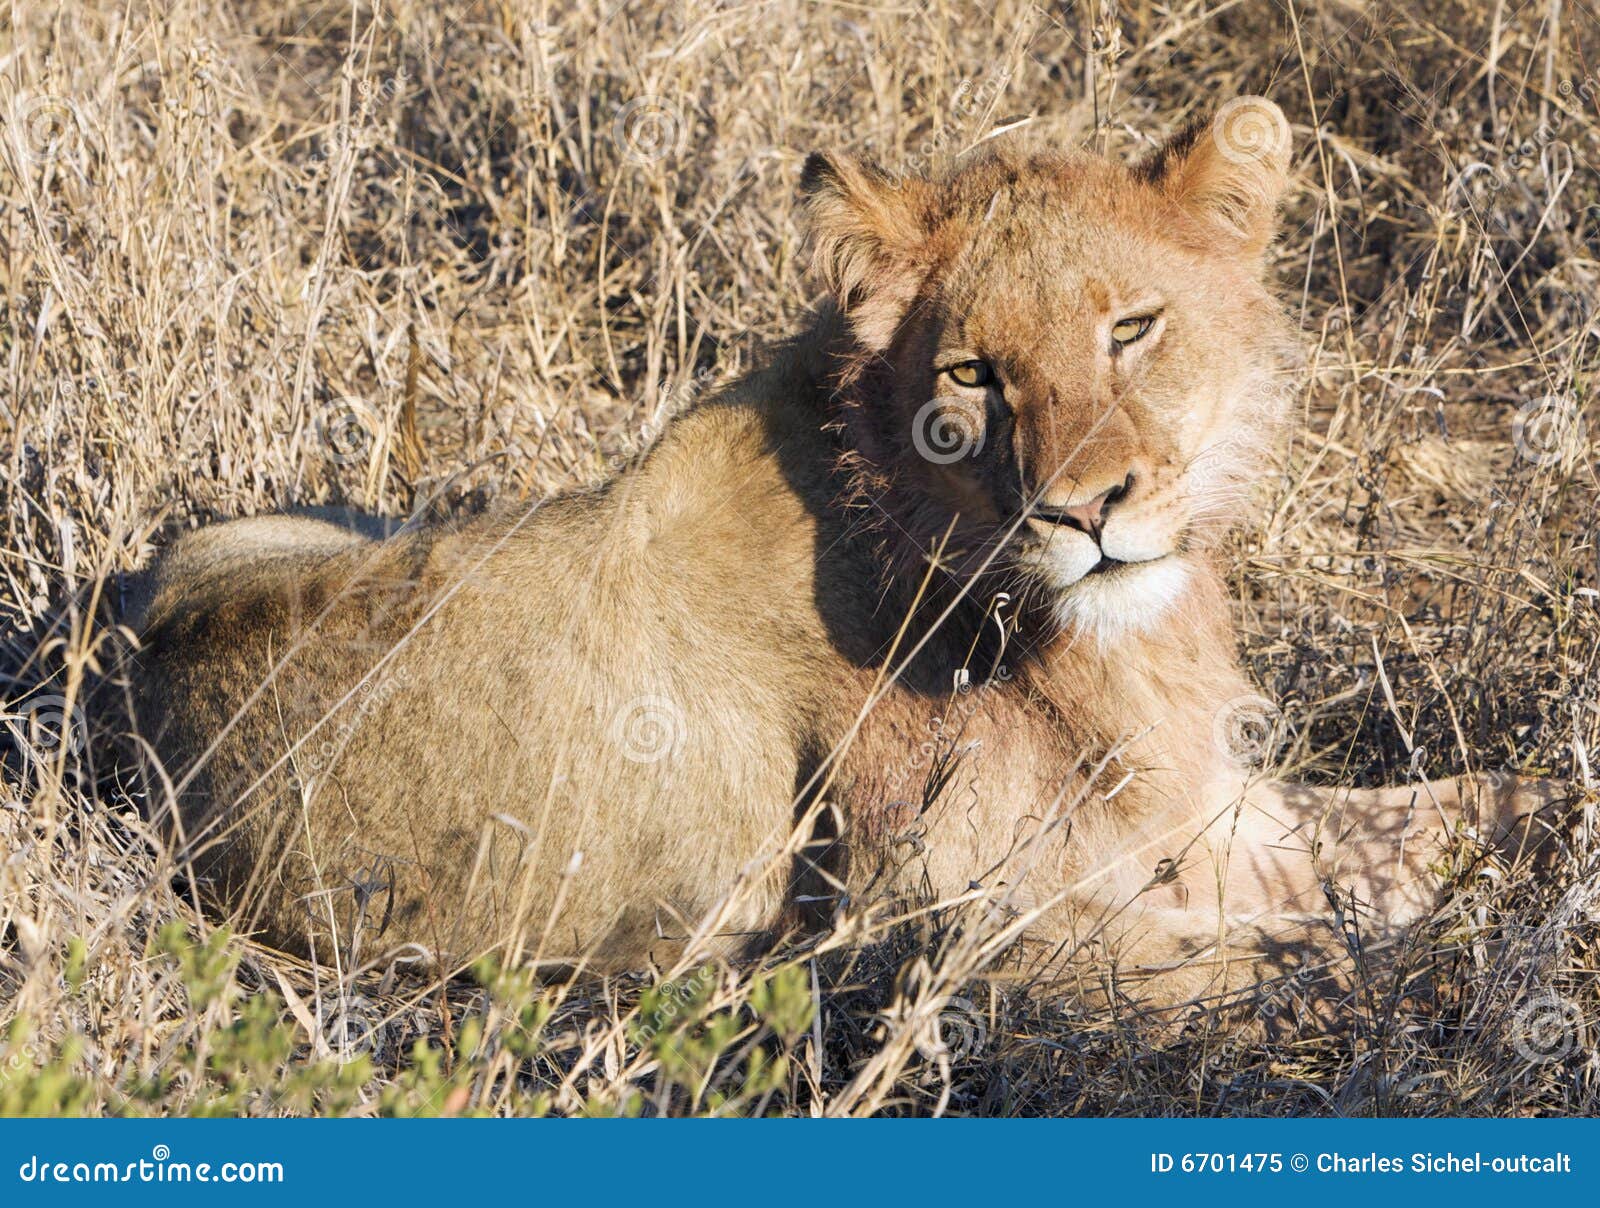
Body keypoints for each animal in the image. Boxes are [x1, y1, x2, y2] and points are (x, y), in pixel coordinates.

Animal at [129, 97, 1561, 1009]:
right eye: (972, 374)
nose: (1084, 508)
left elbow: (1454, 809)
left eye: (1132, 329)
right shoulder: (926, 931)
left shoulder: (1212, 809)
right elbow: (1295, 960)